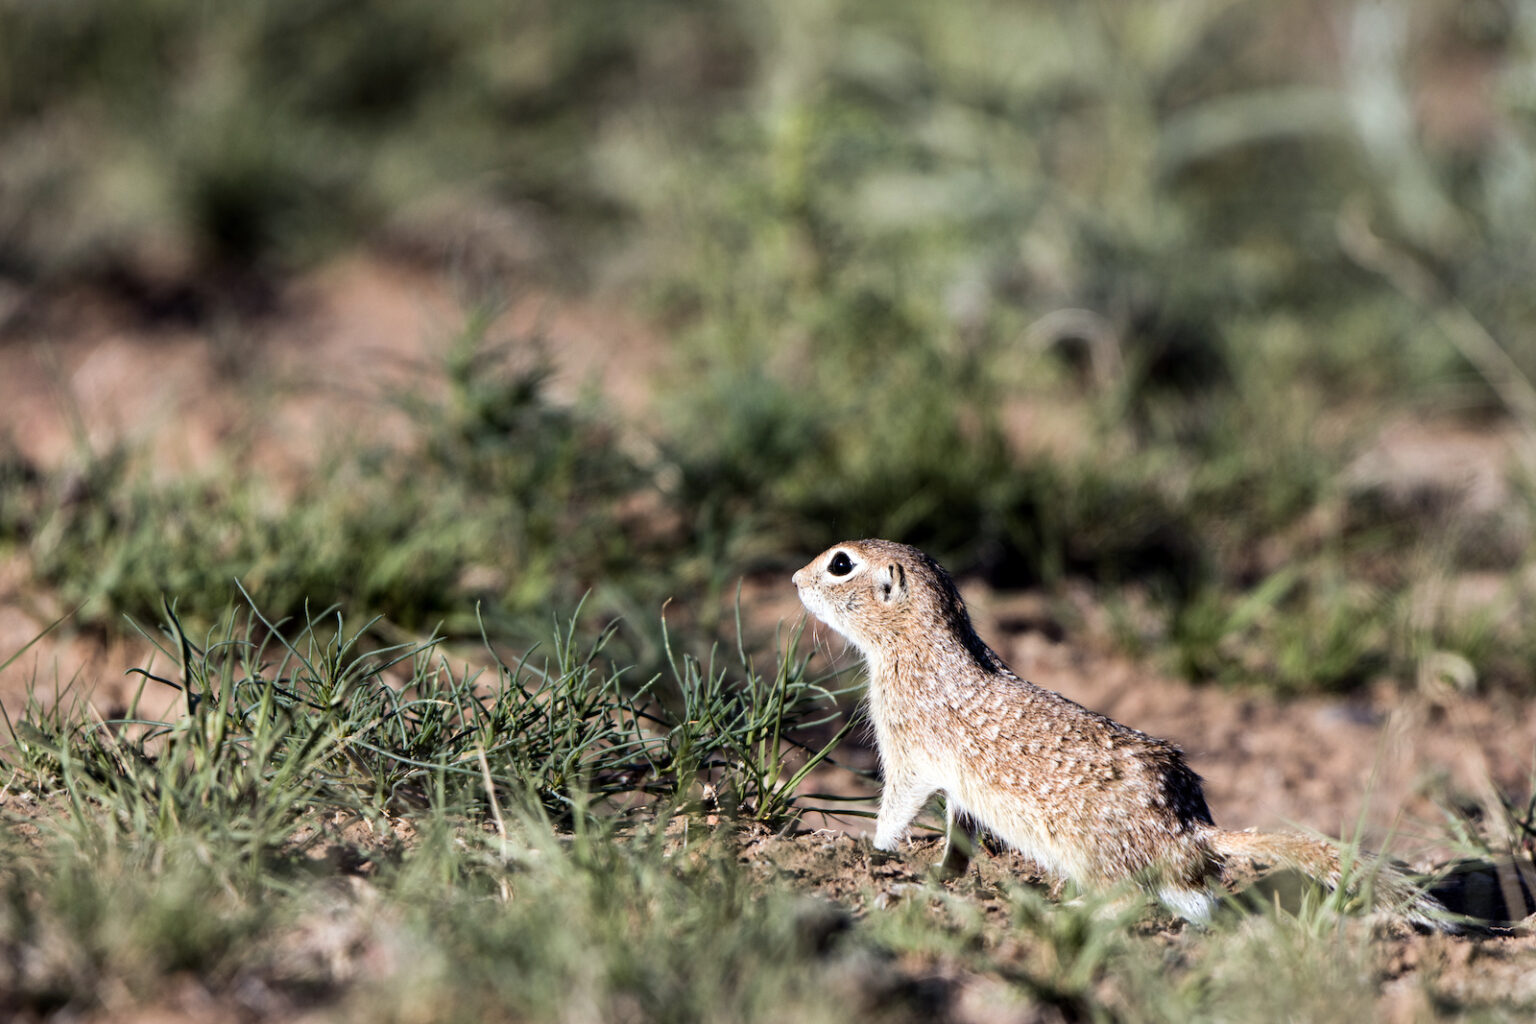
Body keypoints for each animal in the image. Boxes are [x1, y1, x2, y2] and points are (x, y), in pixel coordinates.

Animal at [793, 538, 1452, 929]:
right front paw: (944, 871)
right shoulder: (957, 786)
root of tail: (1191, 833)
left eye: (841, 563)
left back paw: (1069, 909)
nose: (796, 579)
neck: (918, 644)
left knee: (1128, 898)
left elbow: (898, 803)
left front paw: (877, 848)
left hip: (1094, 856)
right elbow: (960, 827)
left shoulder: (908, 747)